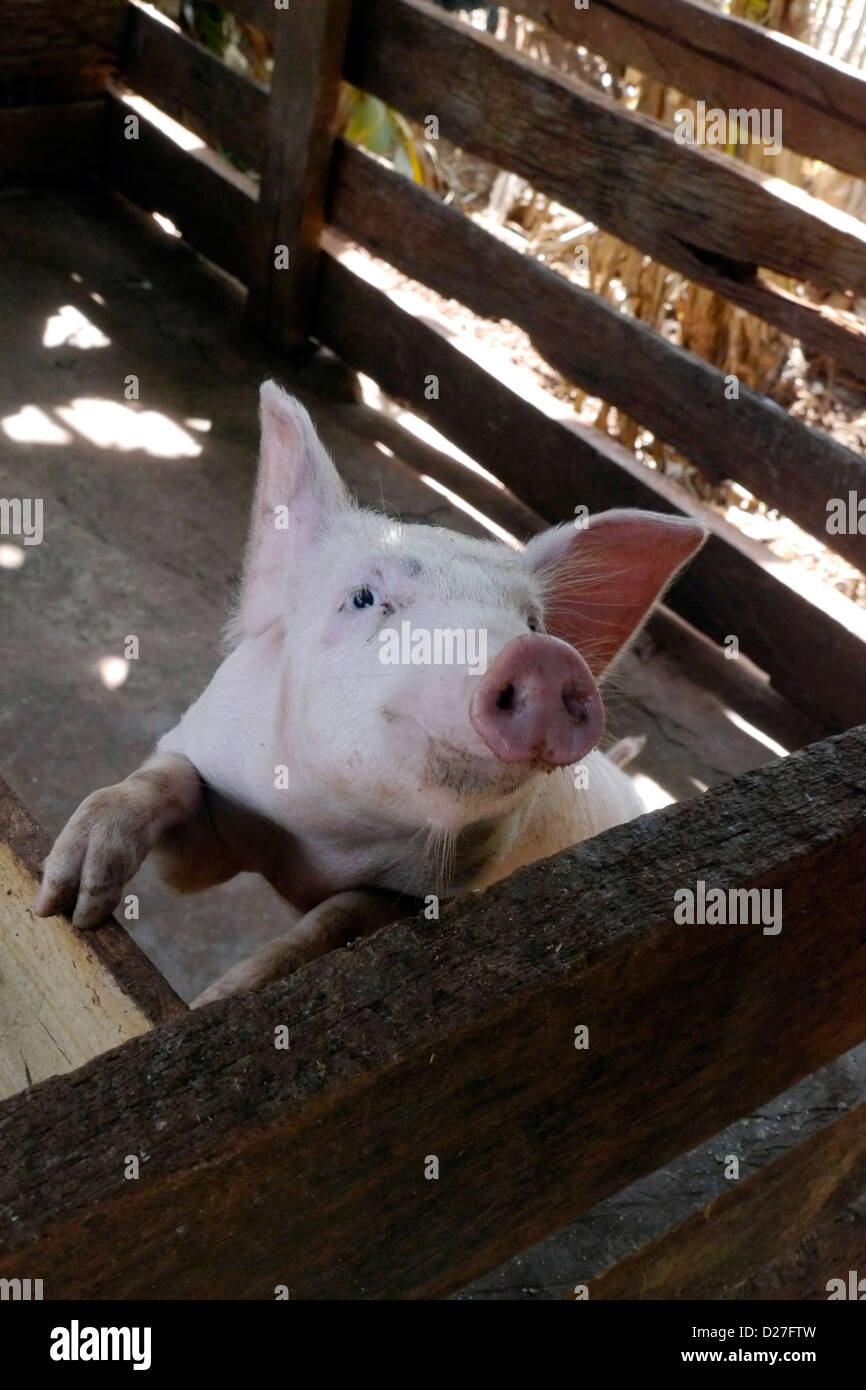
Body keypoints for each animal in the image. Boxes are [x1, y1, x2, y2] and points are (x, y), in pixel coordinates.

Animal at [34, 382, 705, 1004]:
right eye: (363, 597)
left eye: (533, 623)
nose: (542, 658)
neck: (325, 843)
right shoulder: (210, 771)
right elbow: (167, 788)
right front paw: (67, 899)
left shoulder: (436, 887)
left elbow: (334, 920)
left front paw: (216, 999)